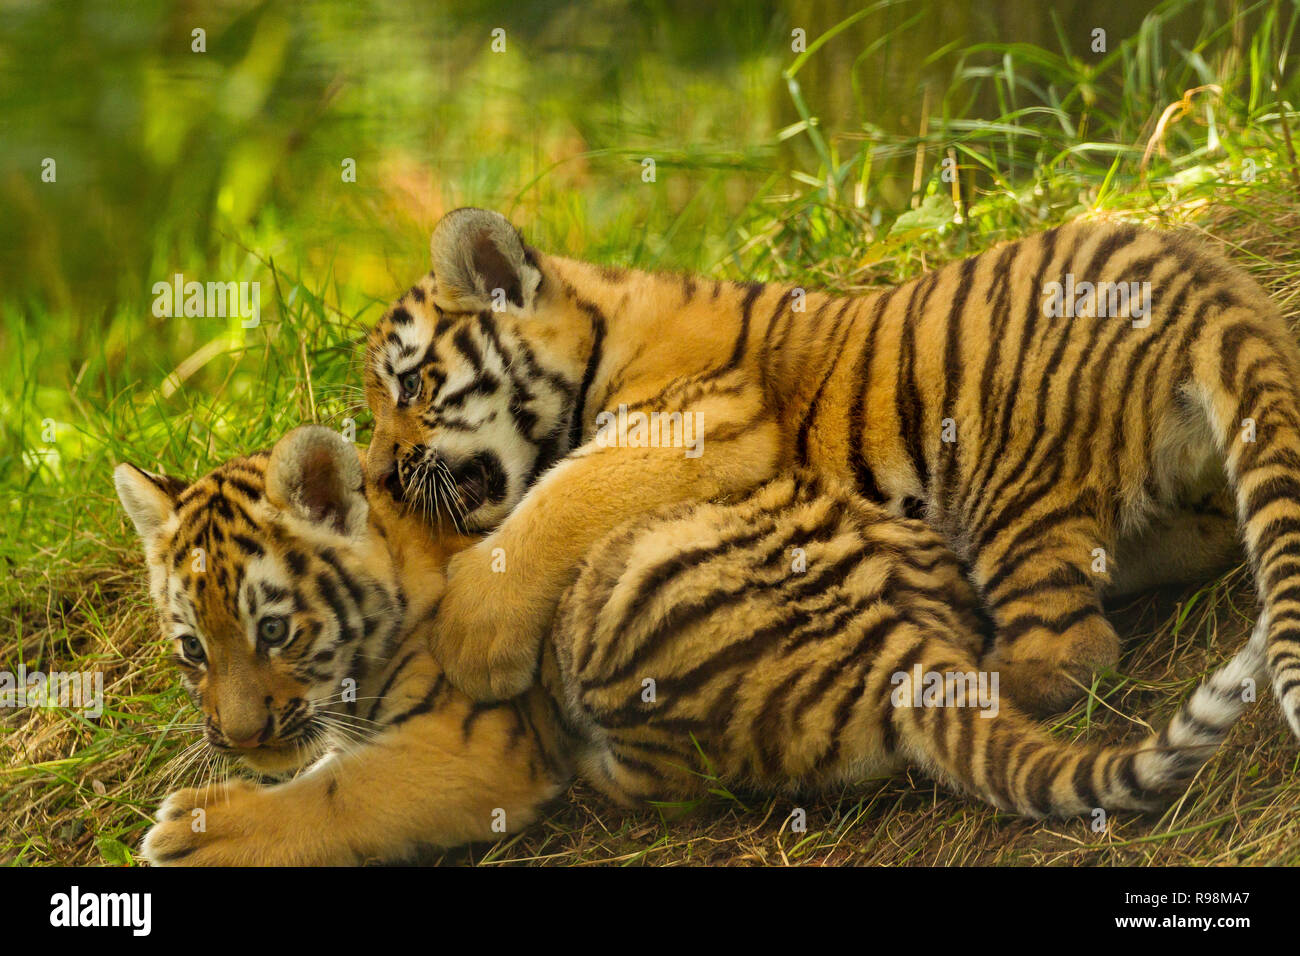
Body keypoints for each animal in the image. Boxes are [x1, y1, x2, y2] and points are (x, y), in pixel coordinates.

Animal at [116, 425, 1262, 864]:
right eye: (191, 649)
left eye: (274, 627)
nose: (236, 739)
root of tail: (903, 637)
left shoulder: (474, 750)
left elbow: (342, 795)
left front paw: (201, 830)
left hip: (609, 598)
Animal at [364, 207, 1300, 731]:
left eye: (409, 385)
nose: (375, 474)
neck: (604, 325)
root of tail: (1212, 288)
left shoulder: (703, 422)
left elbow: (562, 500)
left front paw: (471, 639)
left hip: (1006, 474)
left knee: (1071, 650)